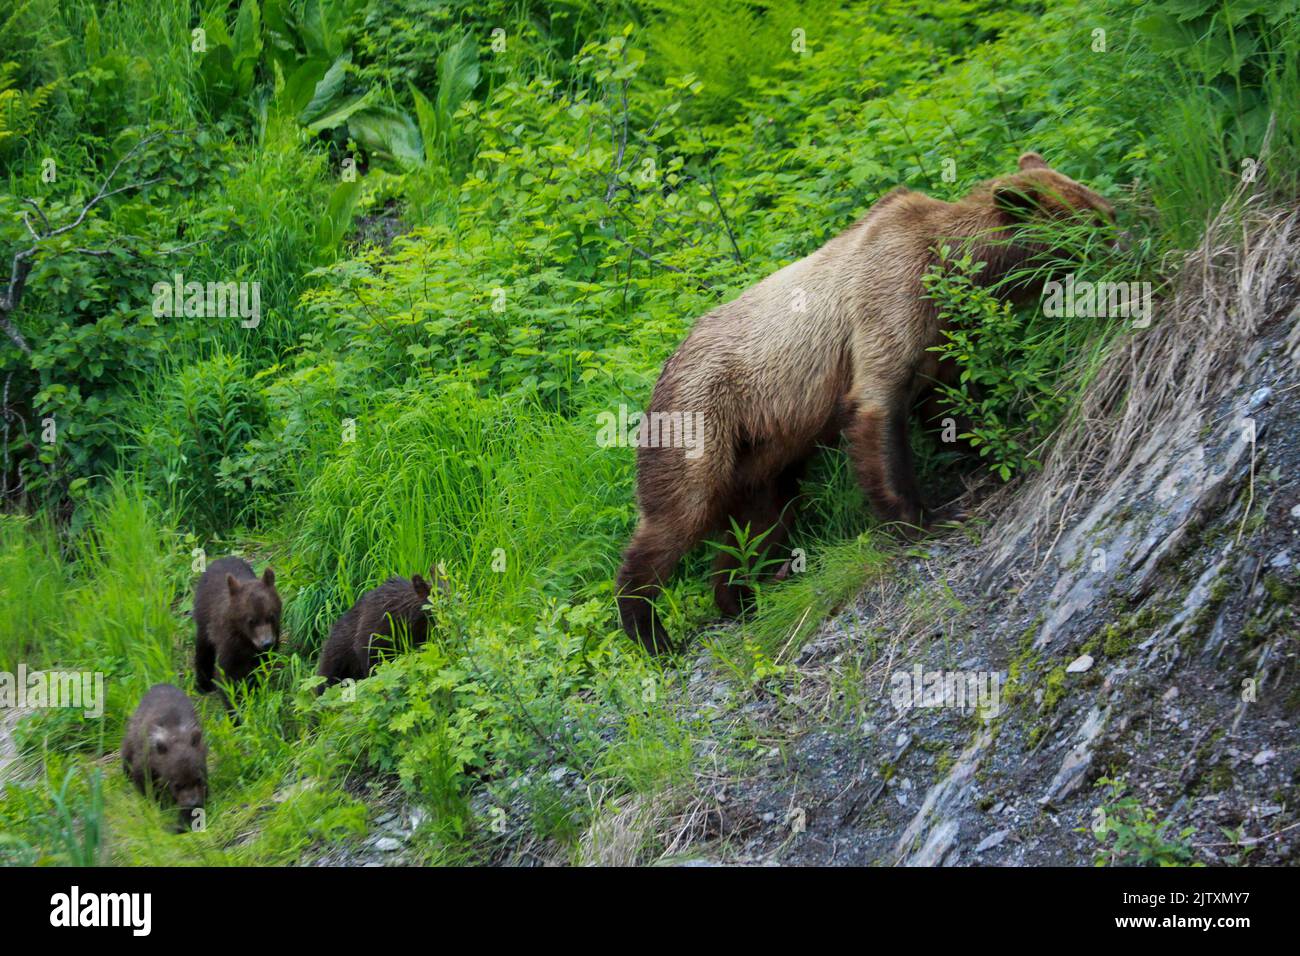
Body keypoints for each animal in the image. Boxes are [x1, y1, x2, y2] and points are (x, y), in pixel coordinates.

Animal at [121, 683, 208, 831]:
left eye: (198, 779)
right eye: (177, 785)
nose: (192, 803)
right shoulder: (146, 758)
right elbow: (144, 781)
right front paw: (154, 803)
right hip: (133, 731)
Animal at [193, 555, 282, 695]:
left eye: (271, 616)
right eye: (251, 620)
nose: (266, 643)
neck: (246, 638)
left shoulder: (273, 634)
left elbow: (262, 665)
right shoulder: (229, 642)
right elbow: (227, 672)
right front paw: (235, 695)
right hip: (204, 618)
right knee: (203, 647)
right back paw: (204, 684)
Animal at [616, 153, 1115, 652]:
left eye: (1100, 208)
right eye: (1090, 218)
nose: (1118, 233)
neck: (958, 267)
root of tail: (661, 374)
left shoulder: (942, 337)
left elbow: (950, 410)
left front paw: (1007, 447)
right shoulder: (891, 293)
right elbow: (878, 409)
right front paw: (924, 516)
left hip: (764, 450)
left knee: (763, 517)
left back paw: (741, 597)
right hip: (701, 415)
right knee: (681, 513)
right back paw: (648, 628)